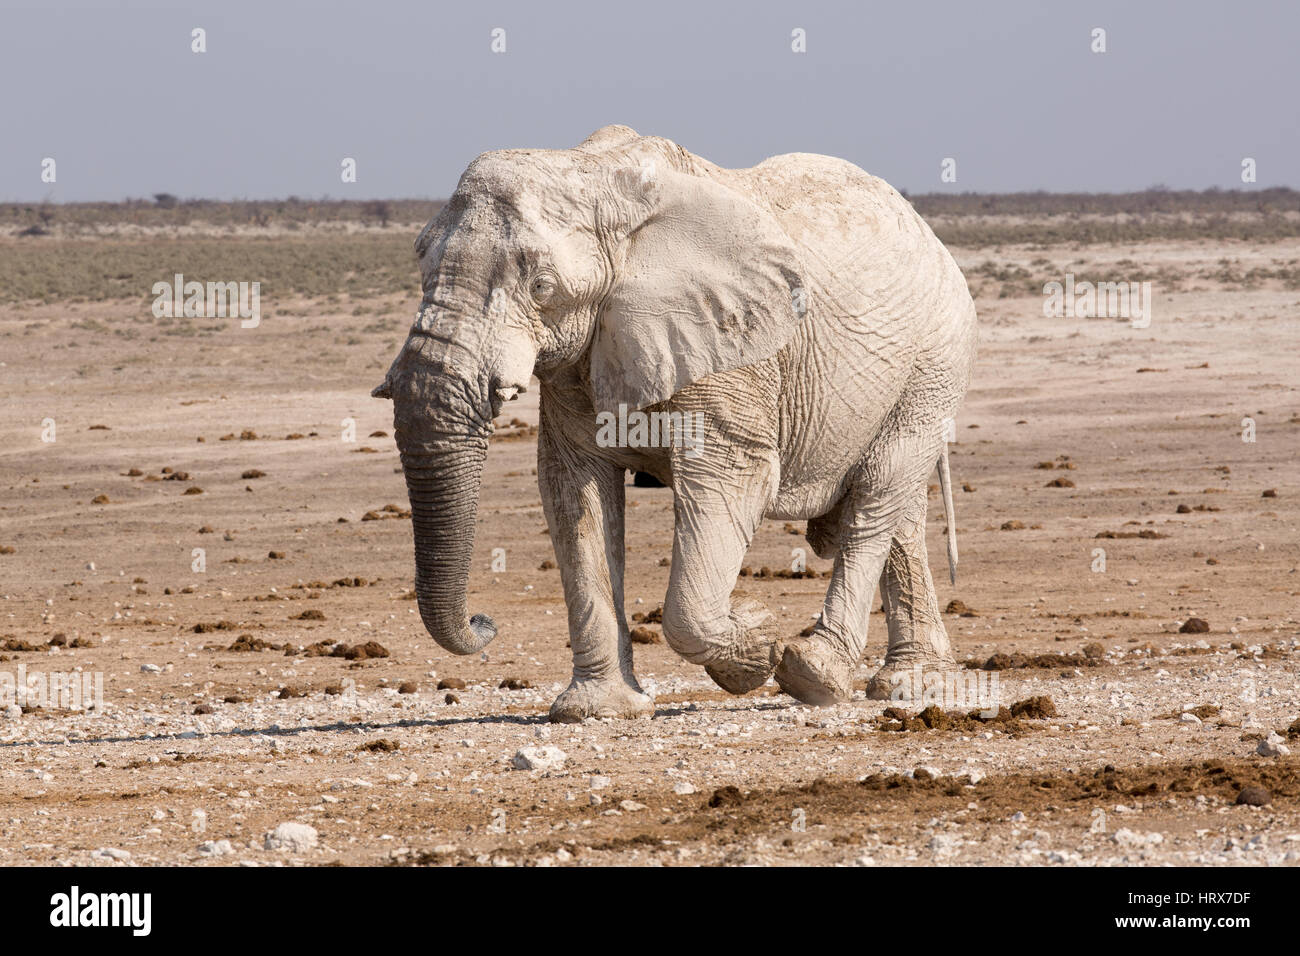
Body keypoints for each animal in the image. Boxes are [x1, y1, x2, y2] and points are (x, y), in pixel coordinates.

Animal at [372, 125, 977, 722]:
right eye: (420, 265)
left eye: (542, 287)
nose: (484, 623)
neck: (588, 173)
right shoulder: (582, 355)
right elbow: (574, 490)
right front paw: (597, 709)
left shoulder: (730, 349)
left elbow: (734, 479)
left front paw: (758, 637)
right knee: (897, 511)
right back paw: (914, 686)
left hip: (935, 358)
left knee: (880, 490)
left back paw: (816, 676)